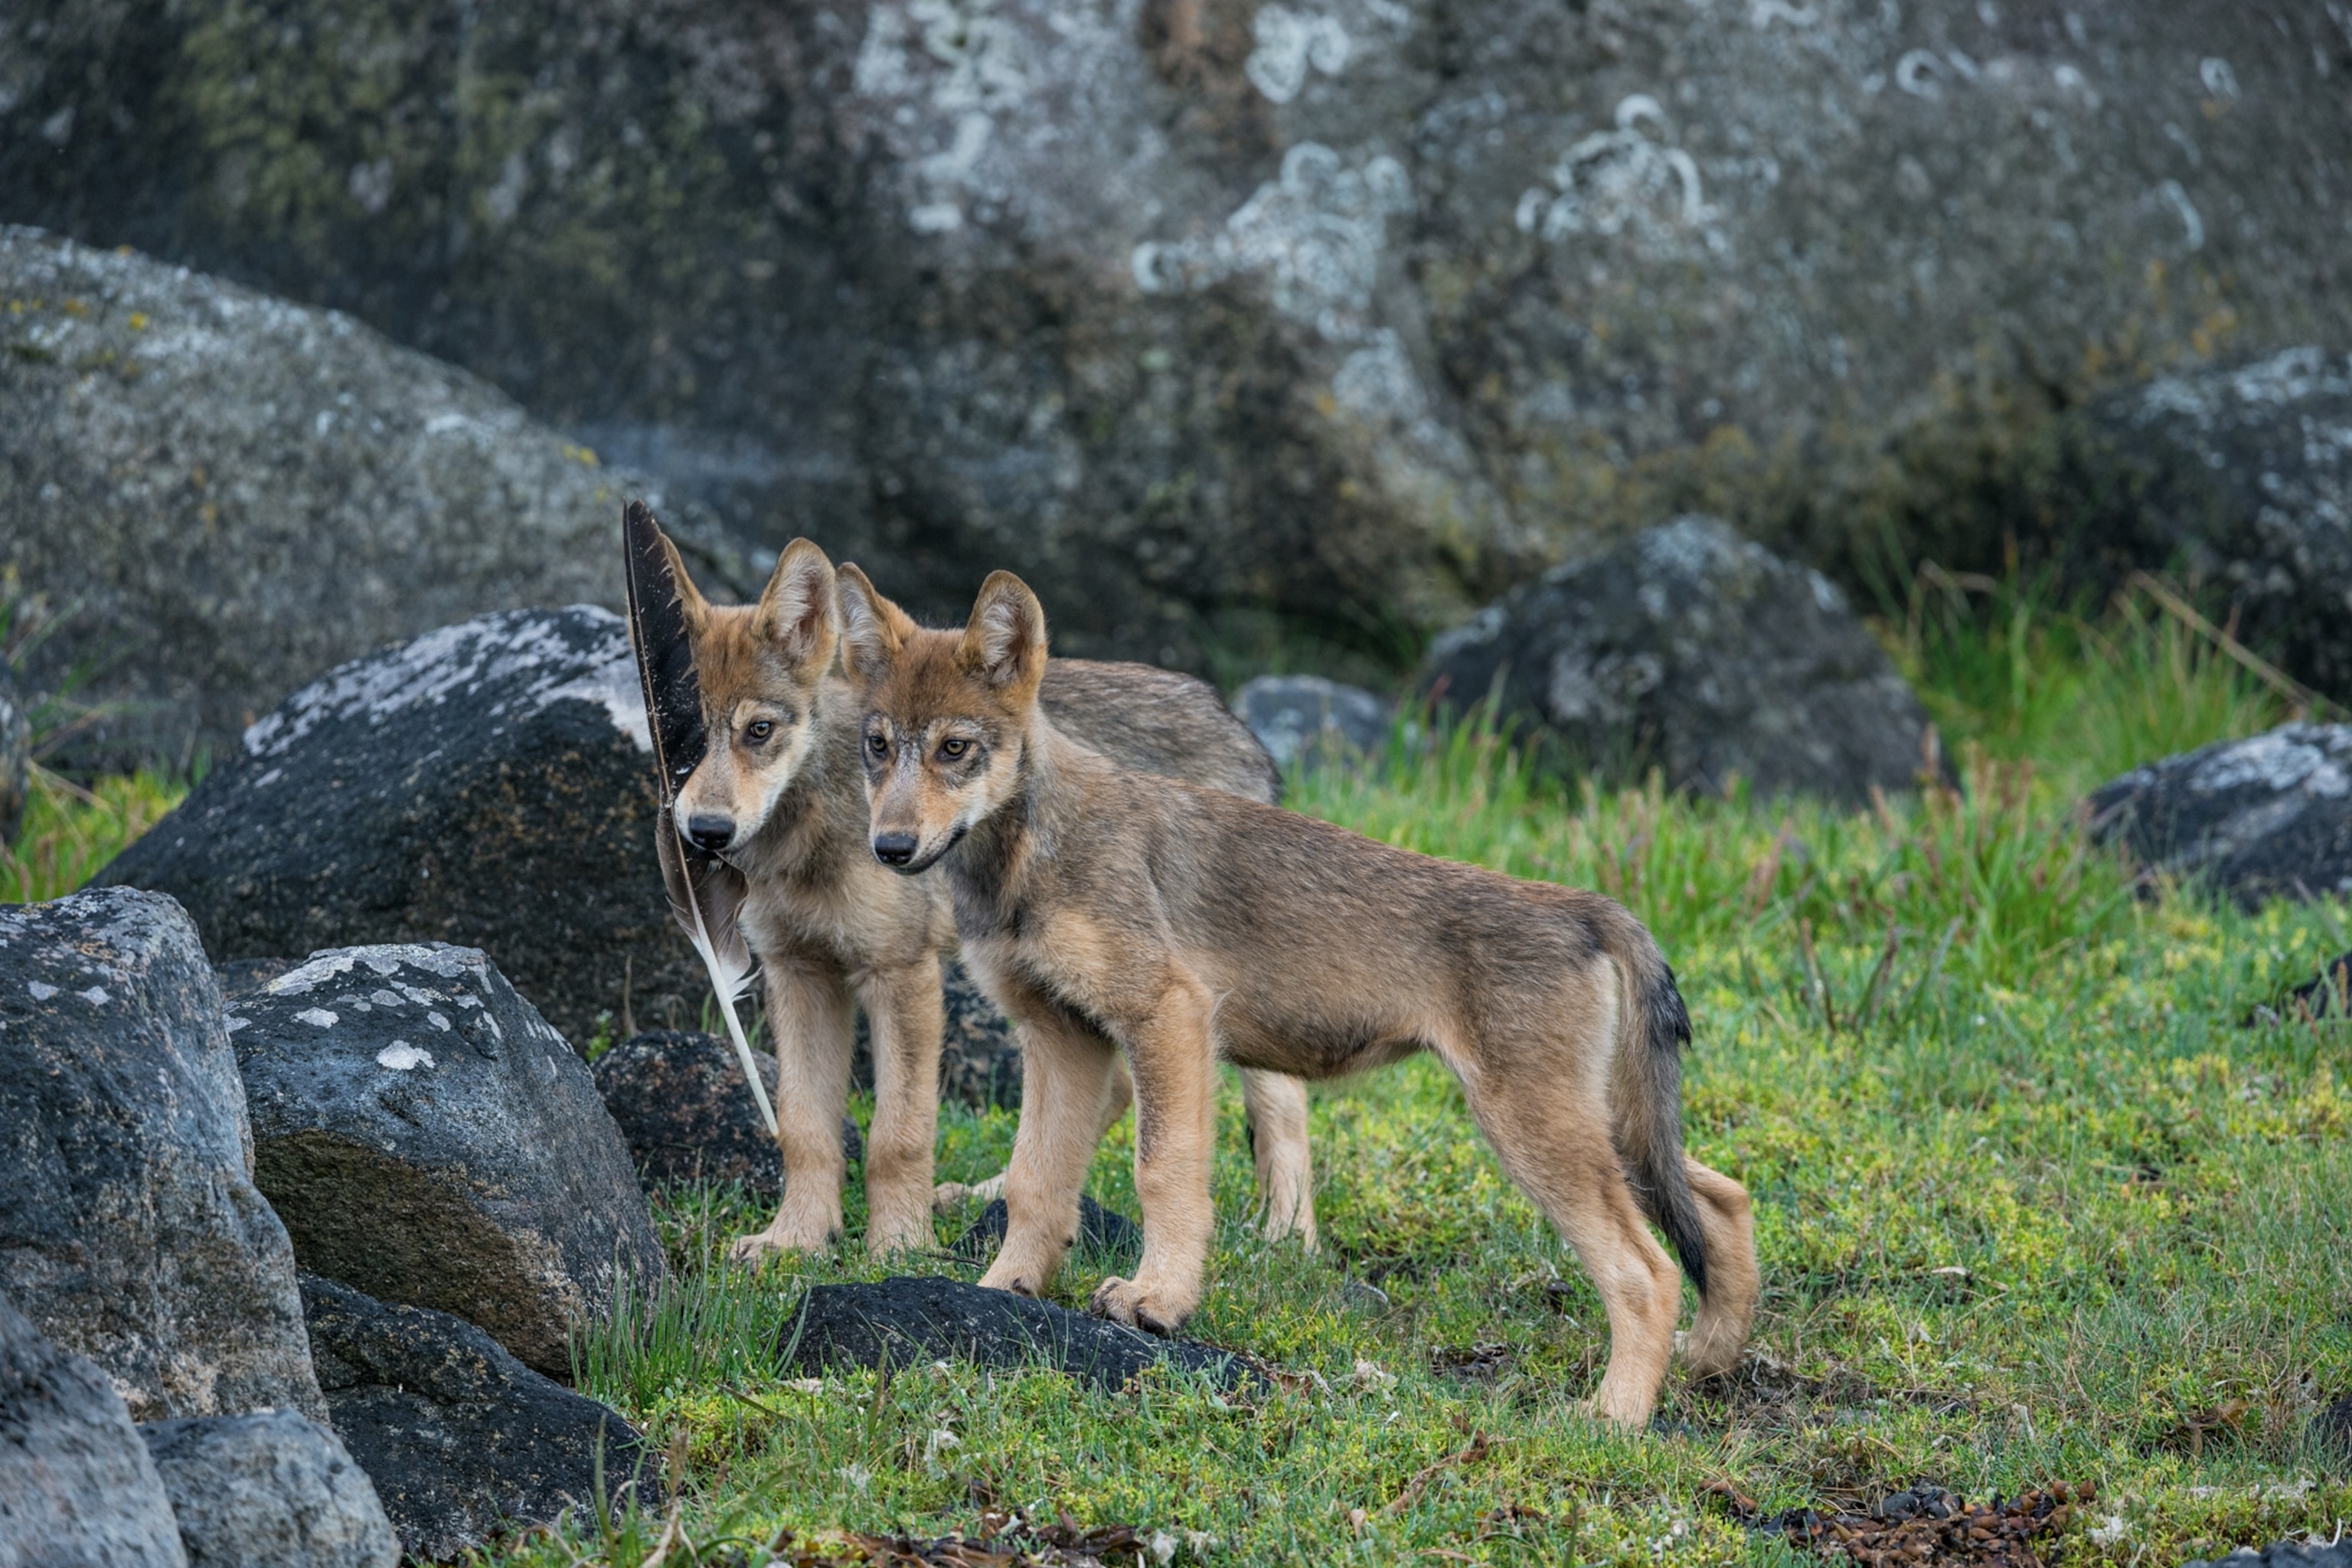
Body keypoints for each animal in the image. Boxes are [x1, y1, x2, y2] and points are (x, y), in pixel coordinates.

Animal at [649, 530, 1317, 1263]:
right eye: (678, 740)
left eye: (759, 731)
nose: (706, 832)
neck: (810, 835)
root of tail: (1237, 726)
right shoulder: (797, 973)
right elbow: (804, 1129)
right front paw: (795, 1240)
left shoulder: (901, 974)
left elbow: (897, 1137)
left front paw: (898, 1248)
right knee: (1108, 1093)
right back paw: (985, 1196)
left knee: (1284, 1105)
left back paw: (1288, 1237)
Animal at [831, 565, 1760, 1427]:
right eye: (876, 746)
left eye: (954, 748)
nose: (890, 847)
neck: (1030, 856)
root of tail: (1589, 909)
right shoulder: (1062, 1038)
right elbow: (1034, 1184)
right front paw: (1005, 1288)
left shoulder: (1167, 1019)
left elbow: (1161, 1172)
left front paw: (1157, 1300)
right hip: (1613, 1133)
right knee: (1722, 1200)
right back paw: (1709, 1359)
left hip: (1538, 1133)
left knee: (1647, 1269)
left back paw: (1613, 1420)